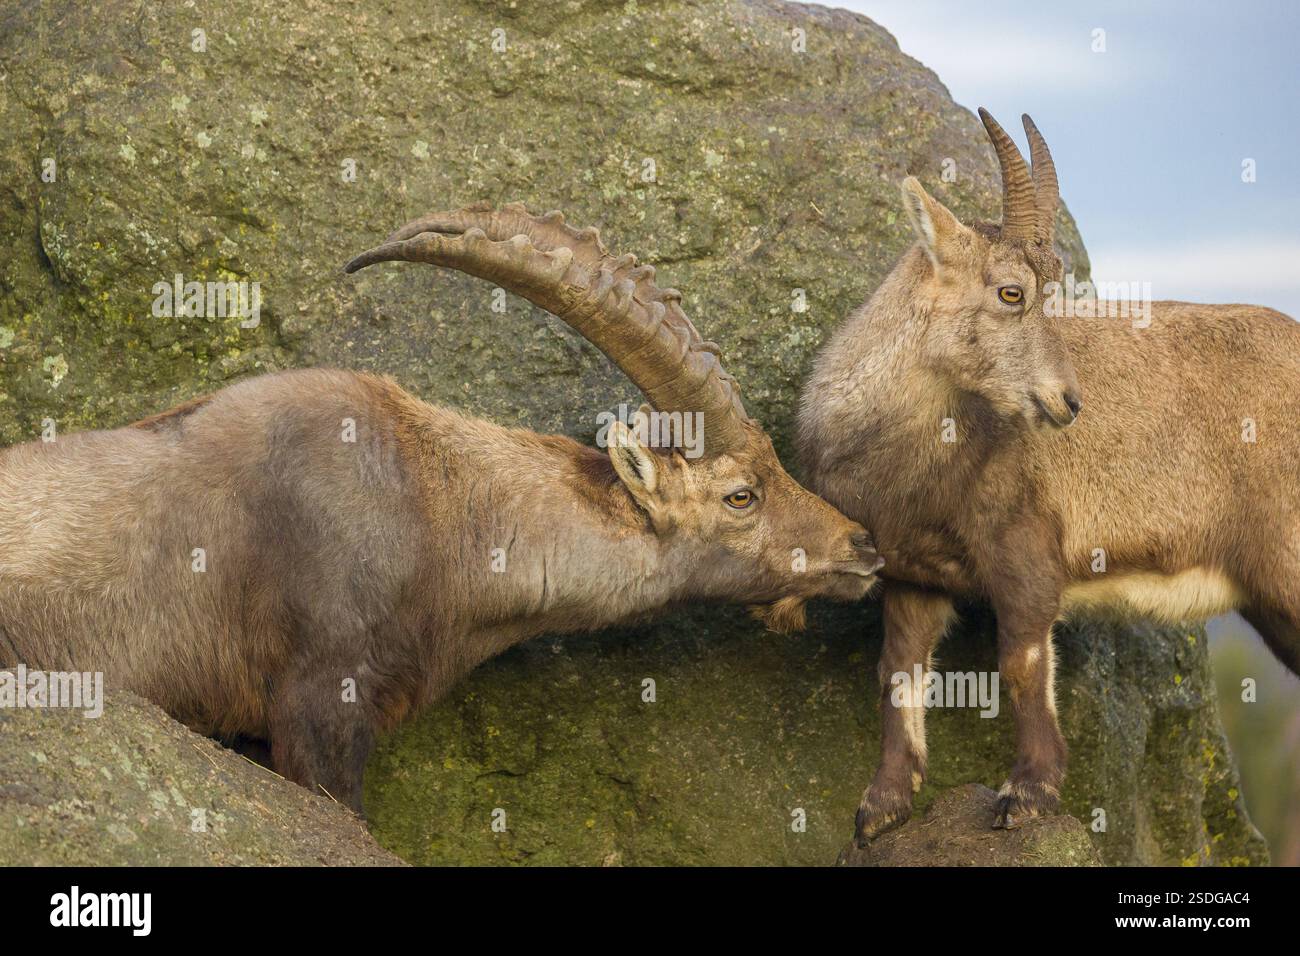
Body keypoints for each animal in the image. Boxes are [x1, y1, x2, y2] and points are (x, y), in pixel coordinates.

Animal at [798, 110, 1300, 845]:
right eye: (1012, 292)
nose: (1068, 401)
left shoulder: (1025, 552)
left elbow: (1021, 662)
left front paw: (1028, 793)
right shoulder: (913, 574)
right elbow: (899, 671)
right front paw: (881, 807)